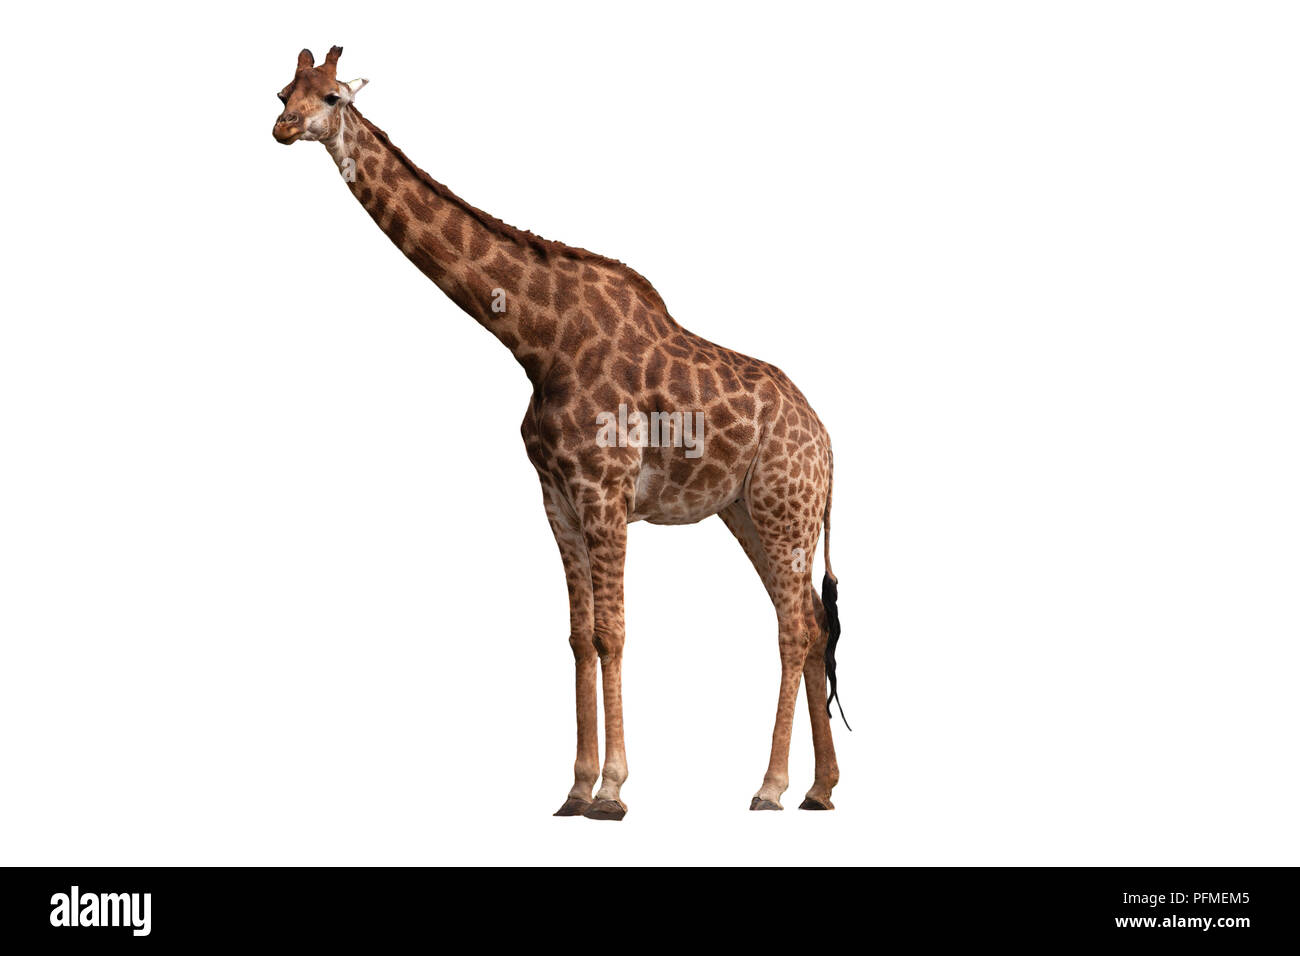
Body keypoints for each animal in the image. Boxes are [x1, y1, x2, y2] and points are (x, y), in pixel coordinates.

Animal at [273, 47, 848, 818]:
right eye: (283, 91)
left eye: (333, 96)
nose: (284, 128)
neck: (535, 339)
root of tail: (828, 442)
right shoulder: (556, 499)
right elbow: (579, 636)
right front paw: (575, 788)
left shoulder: (605, 492)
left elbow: (613, 631)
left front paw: (613, 790)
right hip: (749, 513)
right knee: (811, 620)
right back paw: (821, 787)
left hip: (784, 508)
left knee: (793, 627)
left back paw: (771, 786)